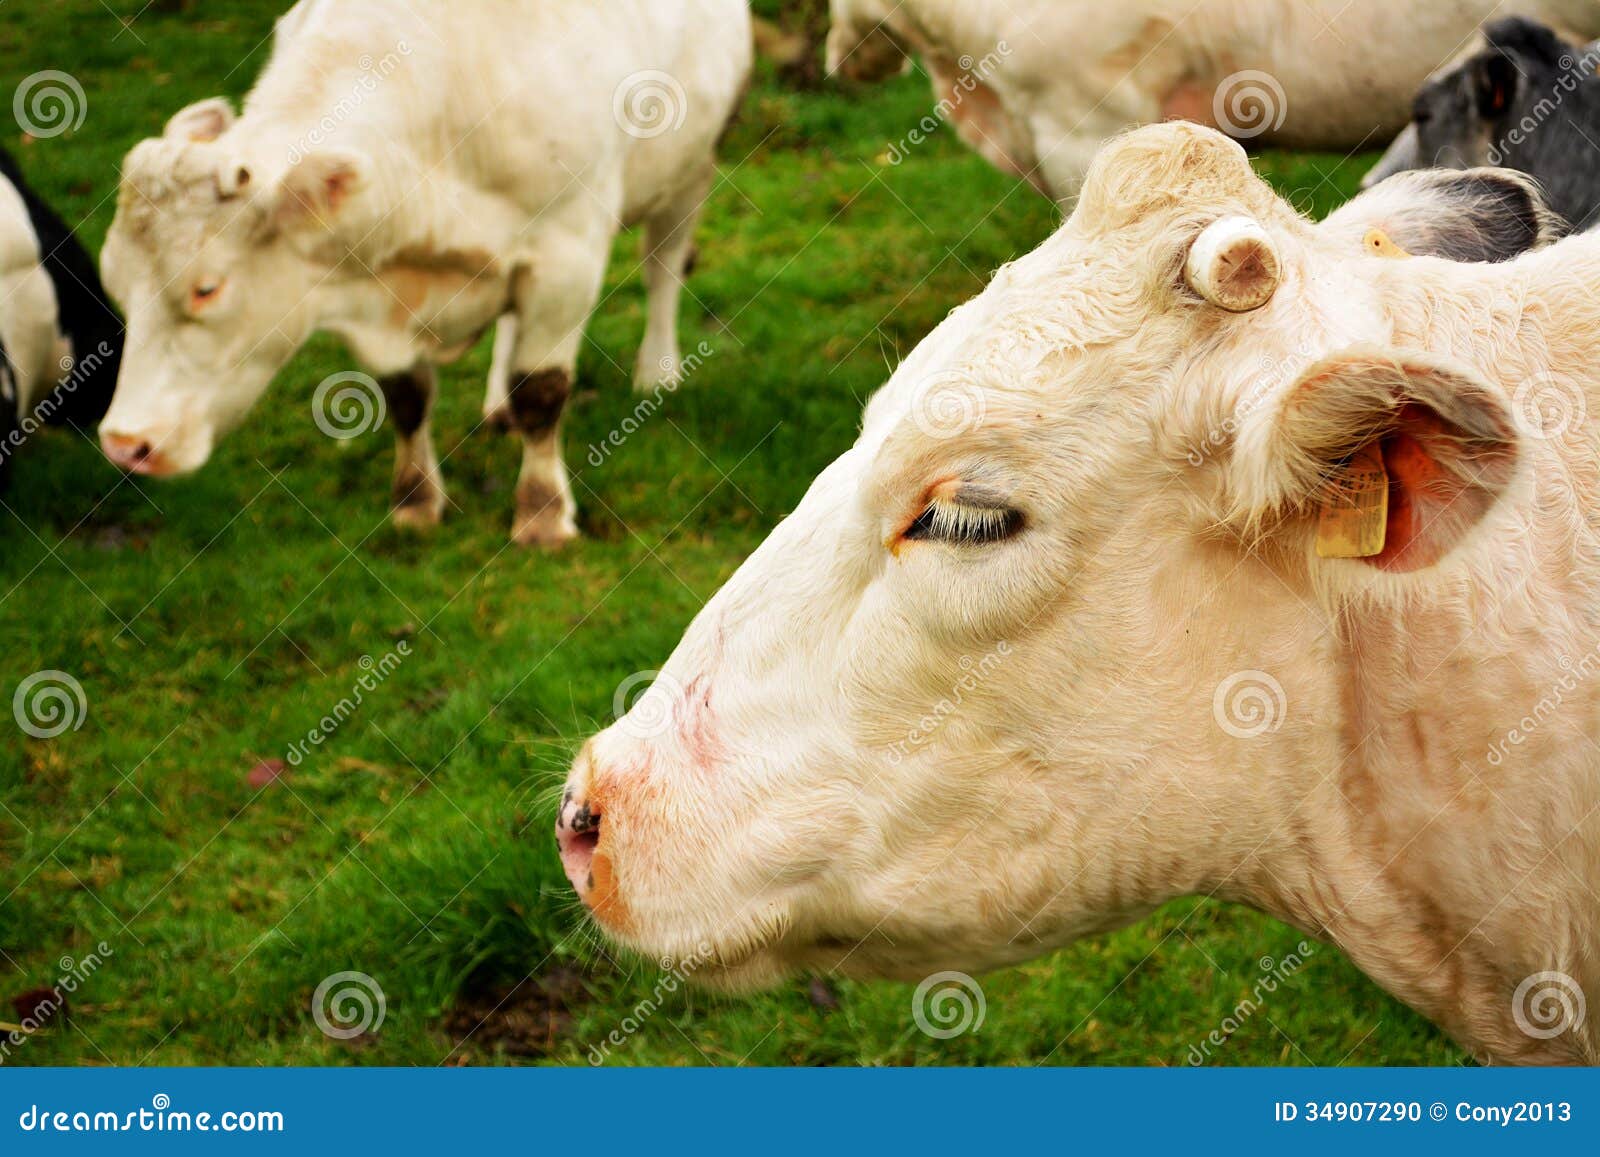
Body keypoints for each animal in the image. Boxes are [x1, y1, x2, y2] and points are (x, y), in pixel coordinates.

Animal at [98, 0, 752, 547]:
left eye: (206, 289)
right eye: (117, 287)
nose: (124, 444)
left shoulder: (567, 253)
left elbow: (542, 392)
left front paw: (542, 514)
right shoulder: (379, 289)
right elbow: (406, 397)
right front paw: (414, 502)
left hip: (689, 169)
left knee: (663, 268)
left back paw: (657, 370)